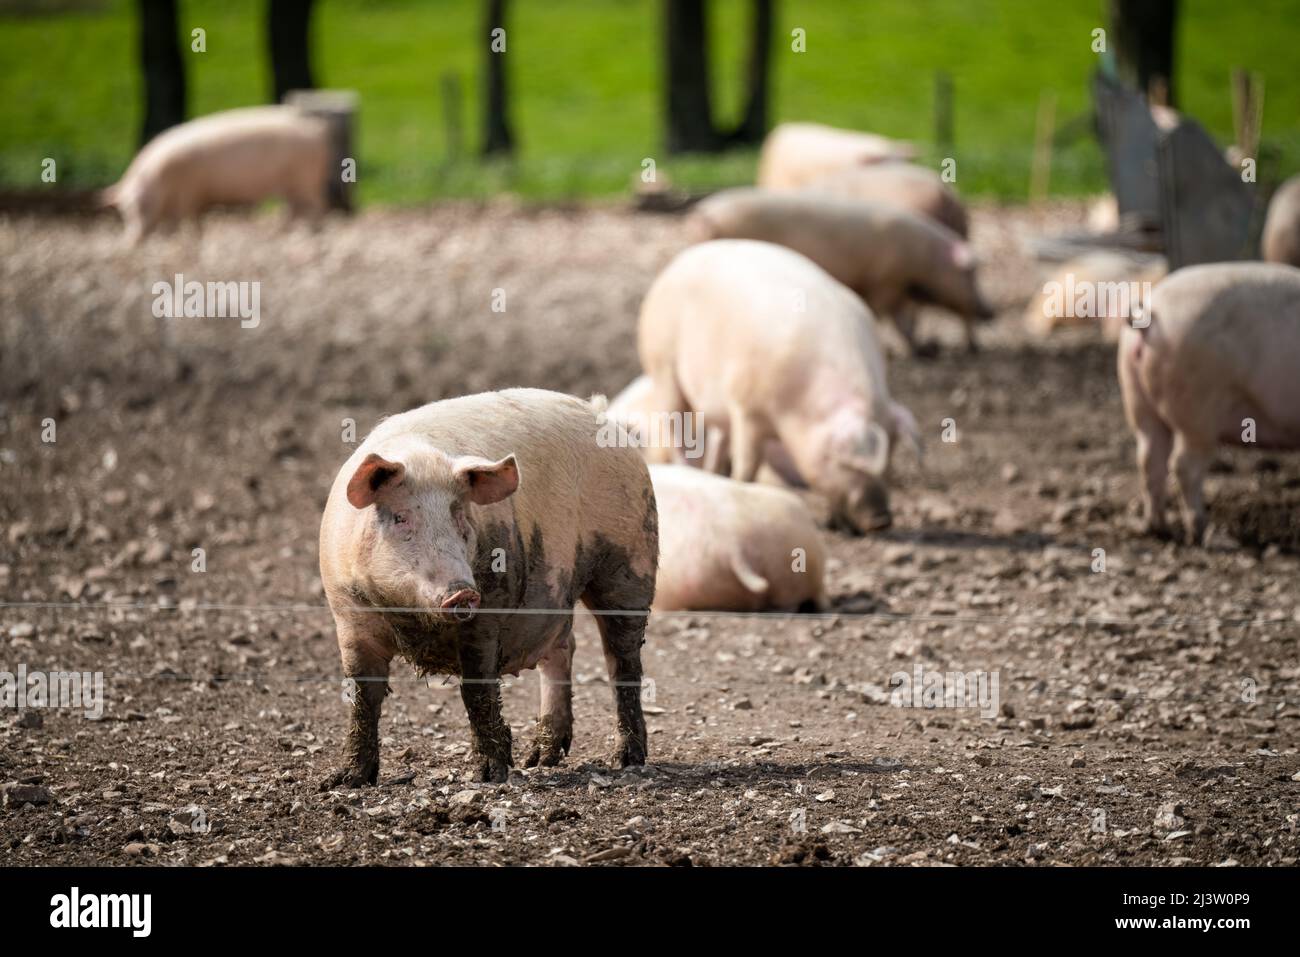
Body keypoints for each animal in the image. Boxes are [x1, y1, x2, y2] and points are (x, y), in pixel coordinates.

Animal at [101, 105, 332, 244]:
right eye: (123, 211)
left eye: (138, 206)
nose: (130, 244)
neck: (158, 182)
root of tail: (316, 129)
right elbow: (179, 222)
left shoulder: (189, 192)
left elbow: (190, 218)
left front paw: (193, 238)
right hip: (292, 186)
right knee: (294, 210)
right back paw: (281, 232)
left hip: (305, 180)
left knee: (315, 208)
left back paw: (310, 233)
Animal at [318, 388, 658, 785]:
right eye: (401, 518)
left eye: (461, 515)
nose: (462, 591)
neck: (412, 618)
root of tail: (601, 414)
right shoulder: (348, 616)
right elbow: (362, 696)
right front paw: (346, 780)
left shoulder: (487, 613)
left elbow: (477, 689)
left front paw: (490, 774)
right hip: (555, 594)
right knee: (564, 649)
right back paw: (540, 759)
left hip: (631, 559)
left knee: (623, 660)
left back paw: (627, 759)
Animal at [638, 239, 921, 534]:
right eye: (845, 463)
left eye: (890, 462)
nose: (882, 520)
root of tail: (678, 262)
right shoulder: (747, 408)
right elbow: (748, 463)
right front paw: (744, 487)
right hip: (663, 366)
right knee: (676, 429)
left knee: (717, 440)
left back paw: (714, 475)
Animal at [689, 188, 994, 353]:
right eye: (971, 272)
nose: (991, 311)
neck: (923, 261)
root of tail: (701, 215)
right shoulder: (886, 281)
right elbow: (885, 316)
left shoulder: (895, 287)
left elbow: (903, 323)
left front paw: (923, 349)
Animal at [1117, 262, 1300, 545]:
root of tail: (1150, 314)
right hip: (1197, 406)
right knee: (1183, 466)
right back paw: (1203, 533)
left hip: (1137, 399)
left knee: (1149, 460)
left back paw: (1159, 530)